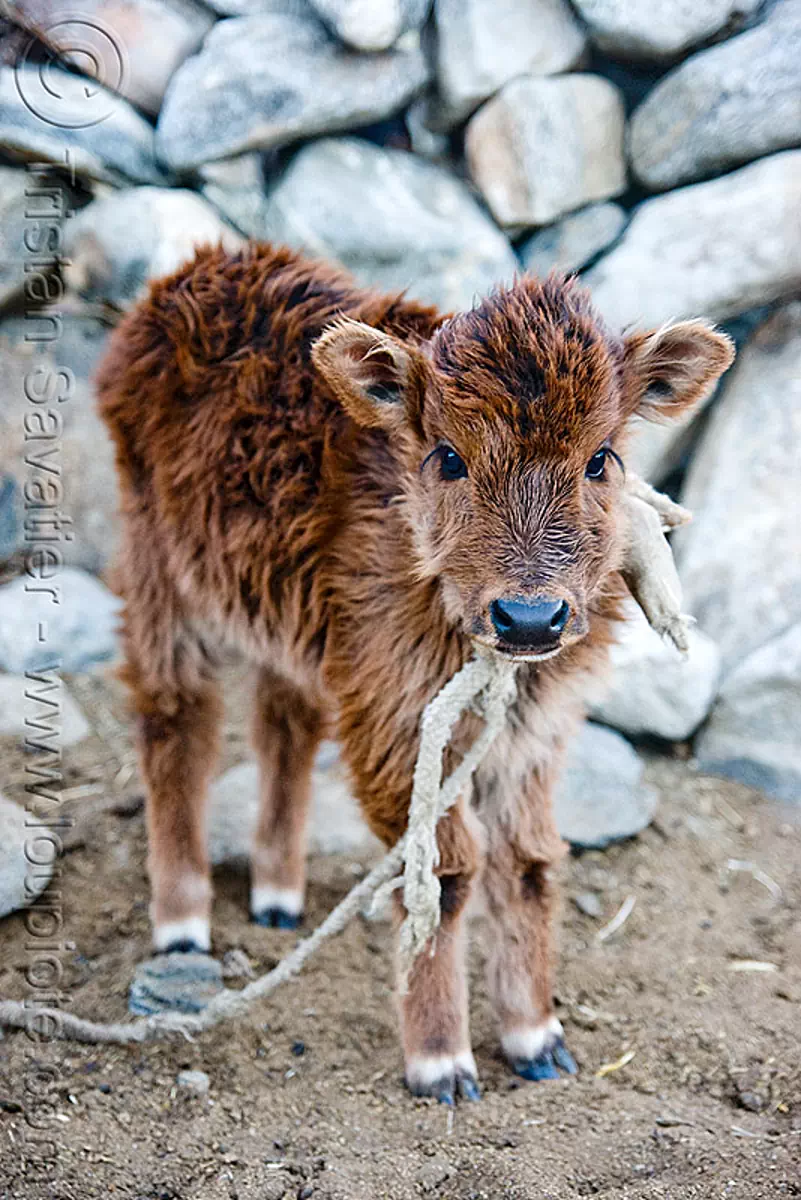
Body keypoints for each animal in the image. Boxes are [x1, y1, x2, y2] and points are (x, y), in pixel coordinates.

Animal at [96, 243, 732, 1102]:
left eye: (601, 459)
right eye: (448, 458)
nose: (528, 618)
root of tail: (191, 275)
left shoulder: (535, 733)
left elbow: (529, 864)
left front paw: (538, 1040)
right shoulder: (395, 719)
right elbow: (443, 871)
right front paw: (440, 1062)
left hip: (285, 621)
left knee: (284, 719)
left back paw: (276, 893)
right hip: (160, 577)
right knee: (176, 724)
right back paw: (182, 922)